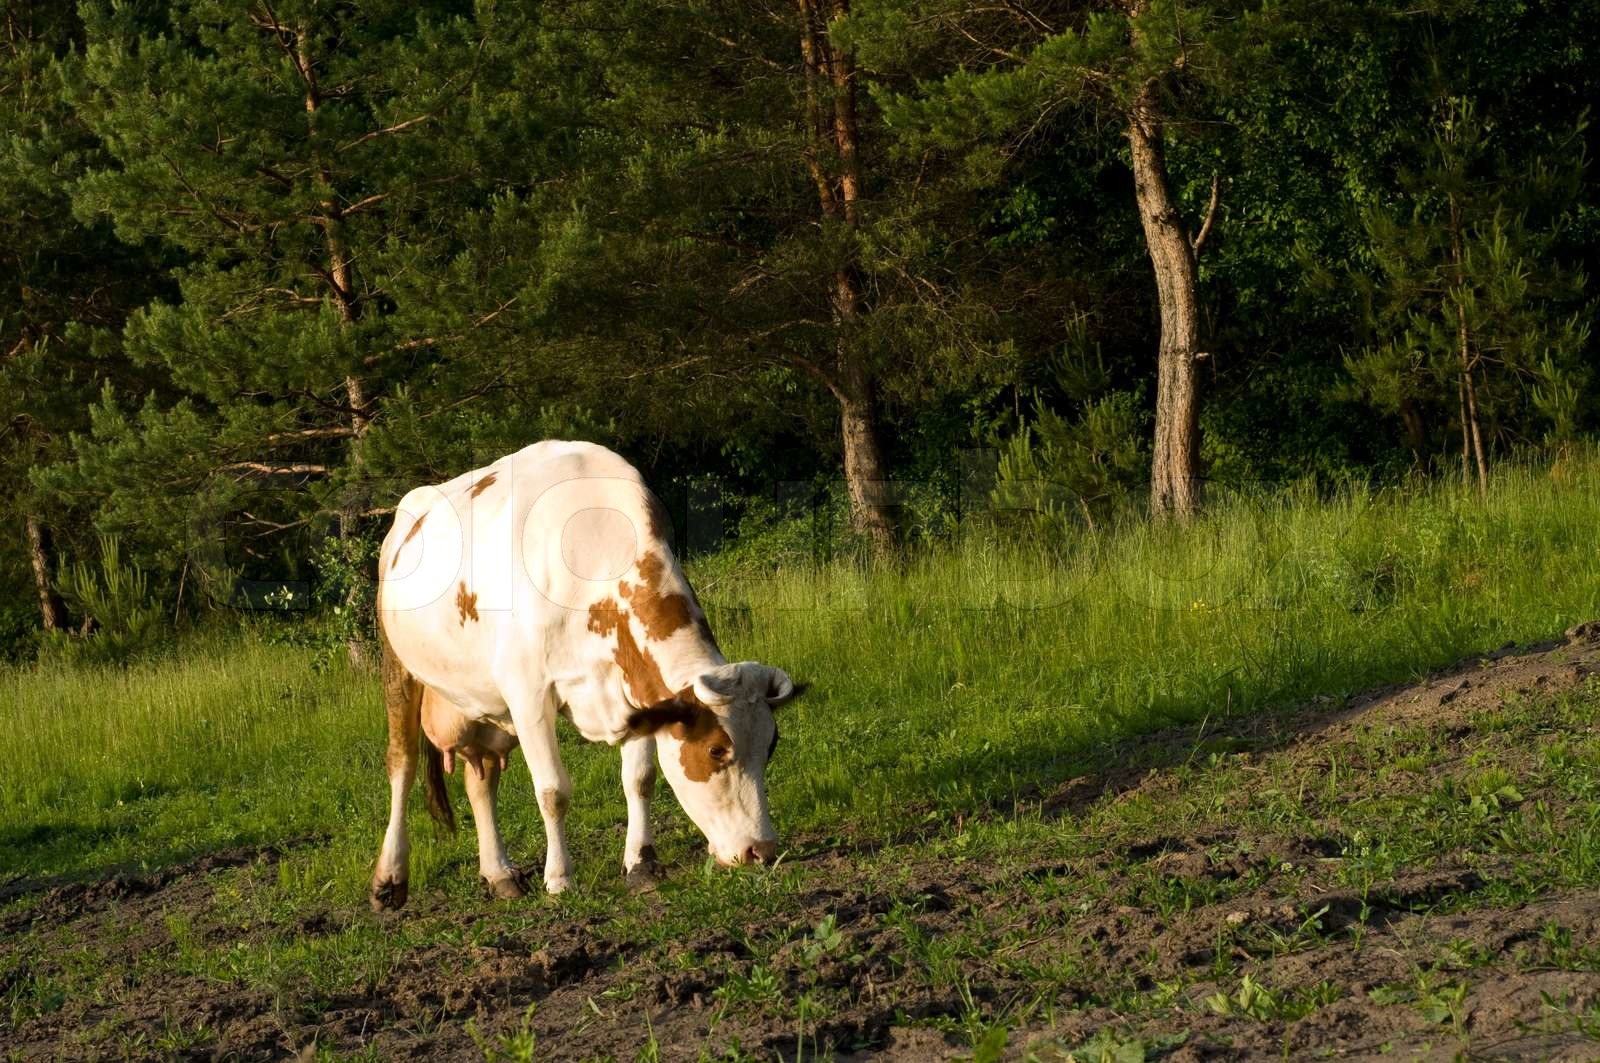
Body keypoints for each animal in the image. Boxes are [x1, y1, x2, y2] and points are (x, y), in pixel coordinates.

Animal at [371, 440, 801, 908]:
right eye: (716, 750)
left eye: (771, 745)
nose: (762, 850)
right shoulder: (527, 693)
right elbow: (553, 791)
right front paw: (560, 878)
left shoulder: (633, 690)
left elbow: (640, 779)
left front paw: (641, 864)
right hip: (398, 668)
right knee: (401, 765)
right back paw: (389, 877)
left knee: (480, 779)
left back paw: (499, 872)